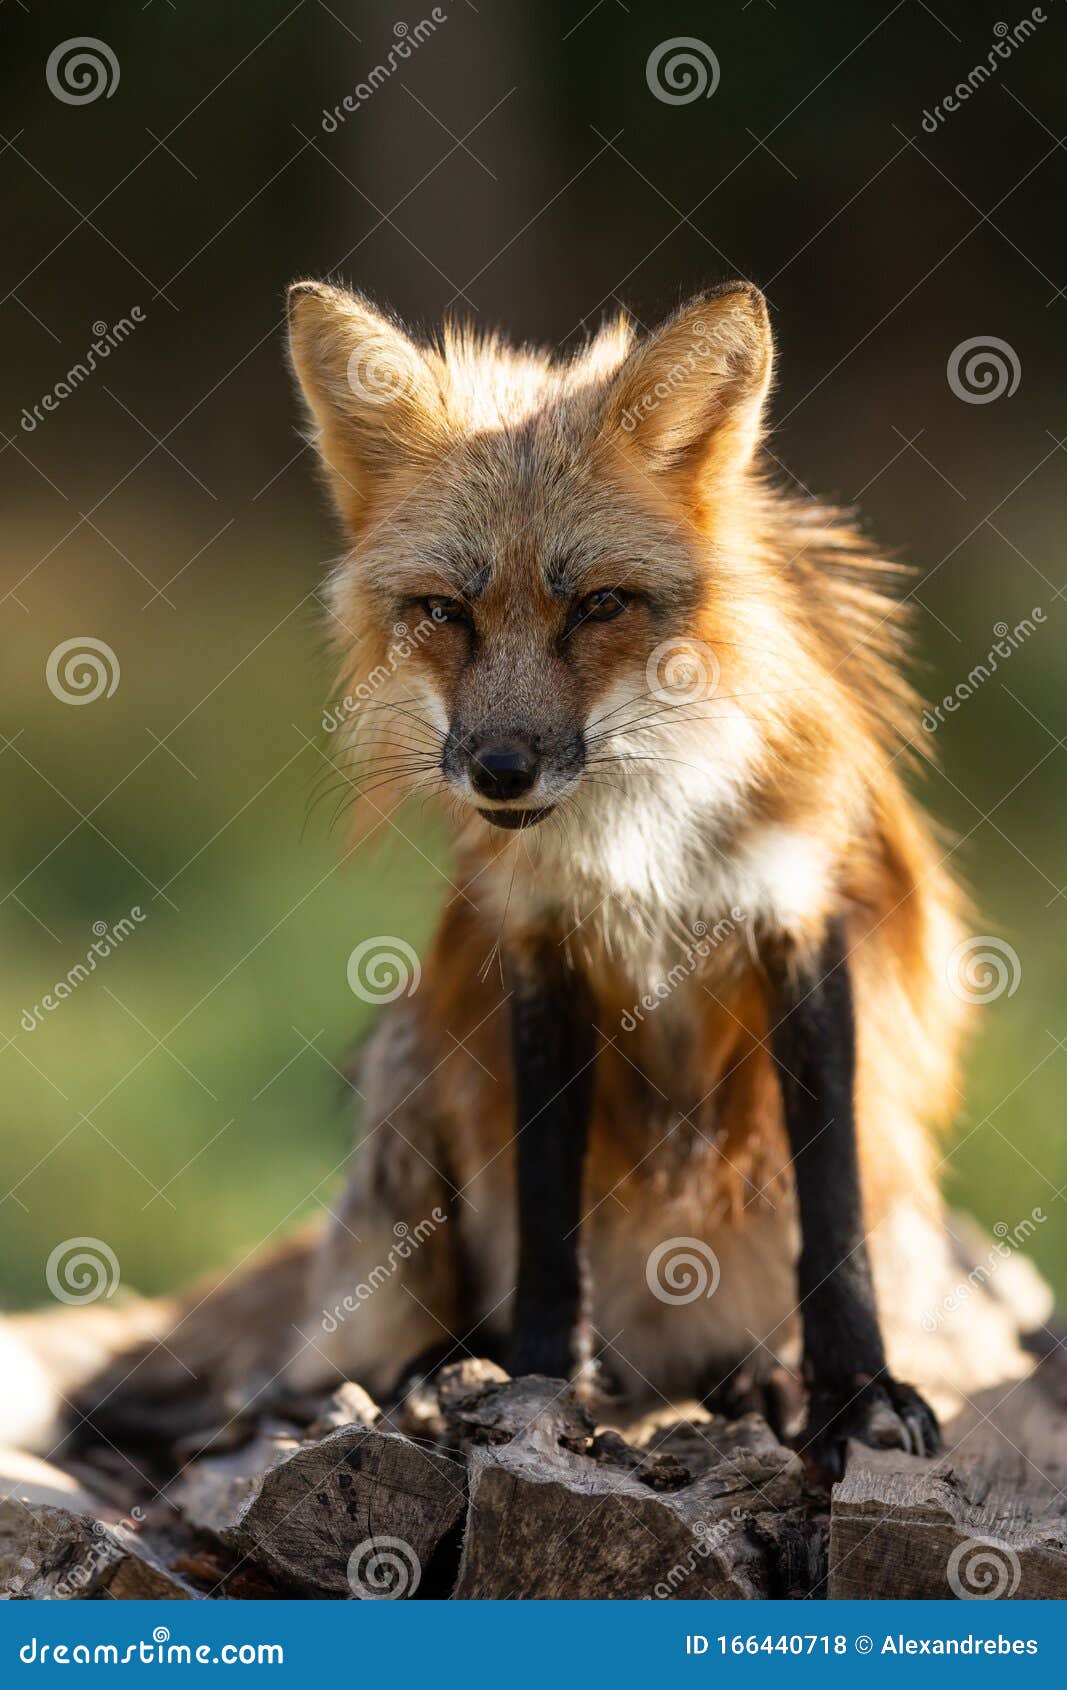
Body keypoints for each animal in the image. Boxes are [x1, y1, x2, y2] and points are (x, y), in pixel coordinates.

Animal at [4, 280, 977, 1477]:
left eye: (598, 605)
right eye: (443, 612)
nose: (499, 768)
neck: (639, 836)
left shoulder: (799, 922)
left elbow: (830, 1210)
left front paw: (856, 1393)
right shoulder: (538, 948)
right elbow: (548, 1220)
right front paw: (539, 1384)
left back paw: (760, 1377)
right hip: (403, 1069)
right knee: (313, 1367)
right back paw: (436, 1374)